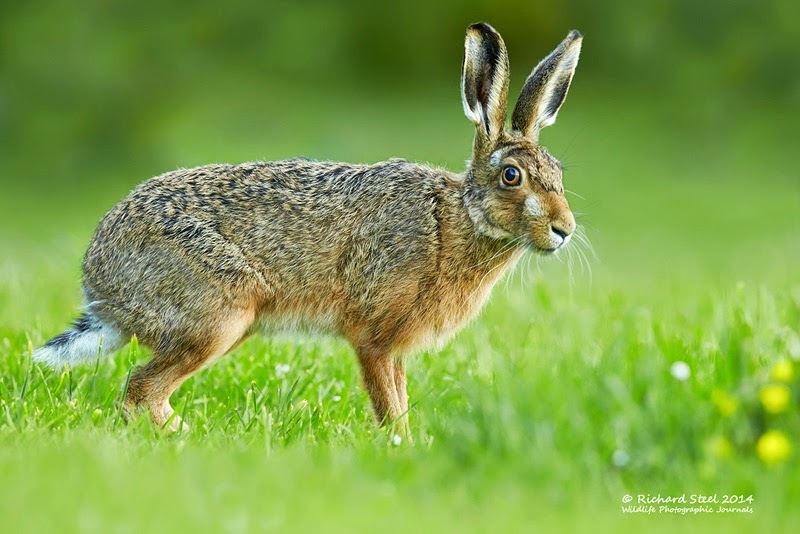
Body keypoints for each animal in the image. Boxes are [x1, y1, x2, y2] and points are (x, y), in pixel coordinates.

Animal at [34, 23, 583, 433]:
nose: (564, 229)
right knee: (140, 389)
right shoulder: (373, 337)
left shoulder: (395, 347)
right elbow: (389, 406)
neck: (455, 220)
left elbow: (401, 398)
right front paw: (402, 448)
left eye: (559, 171)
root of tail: (100, 284)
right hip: (218, 316)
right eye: (511, 176)